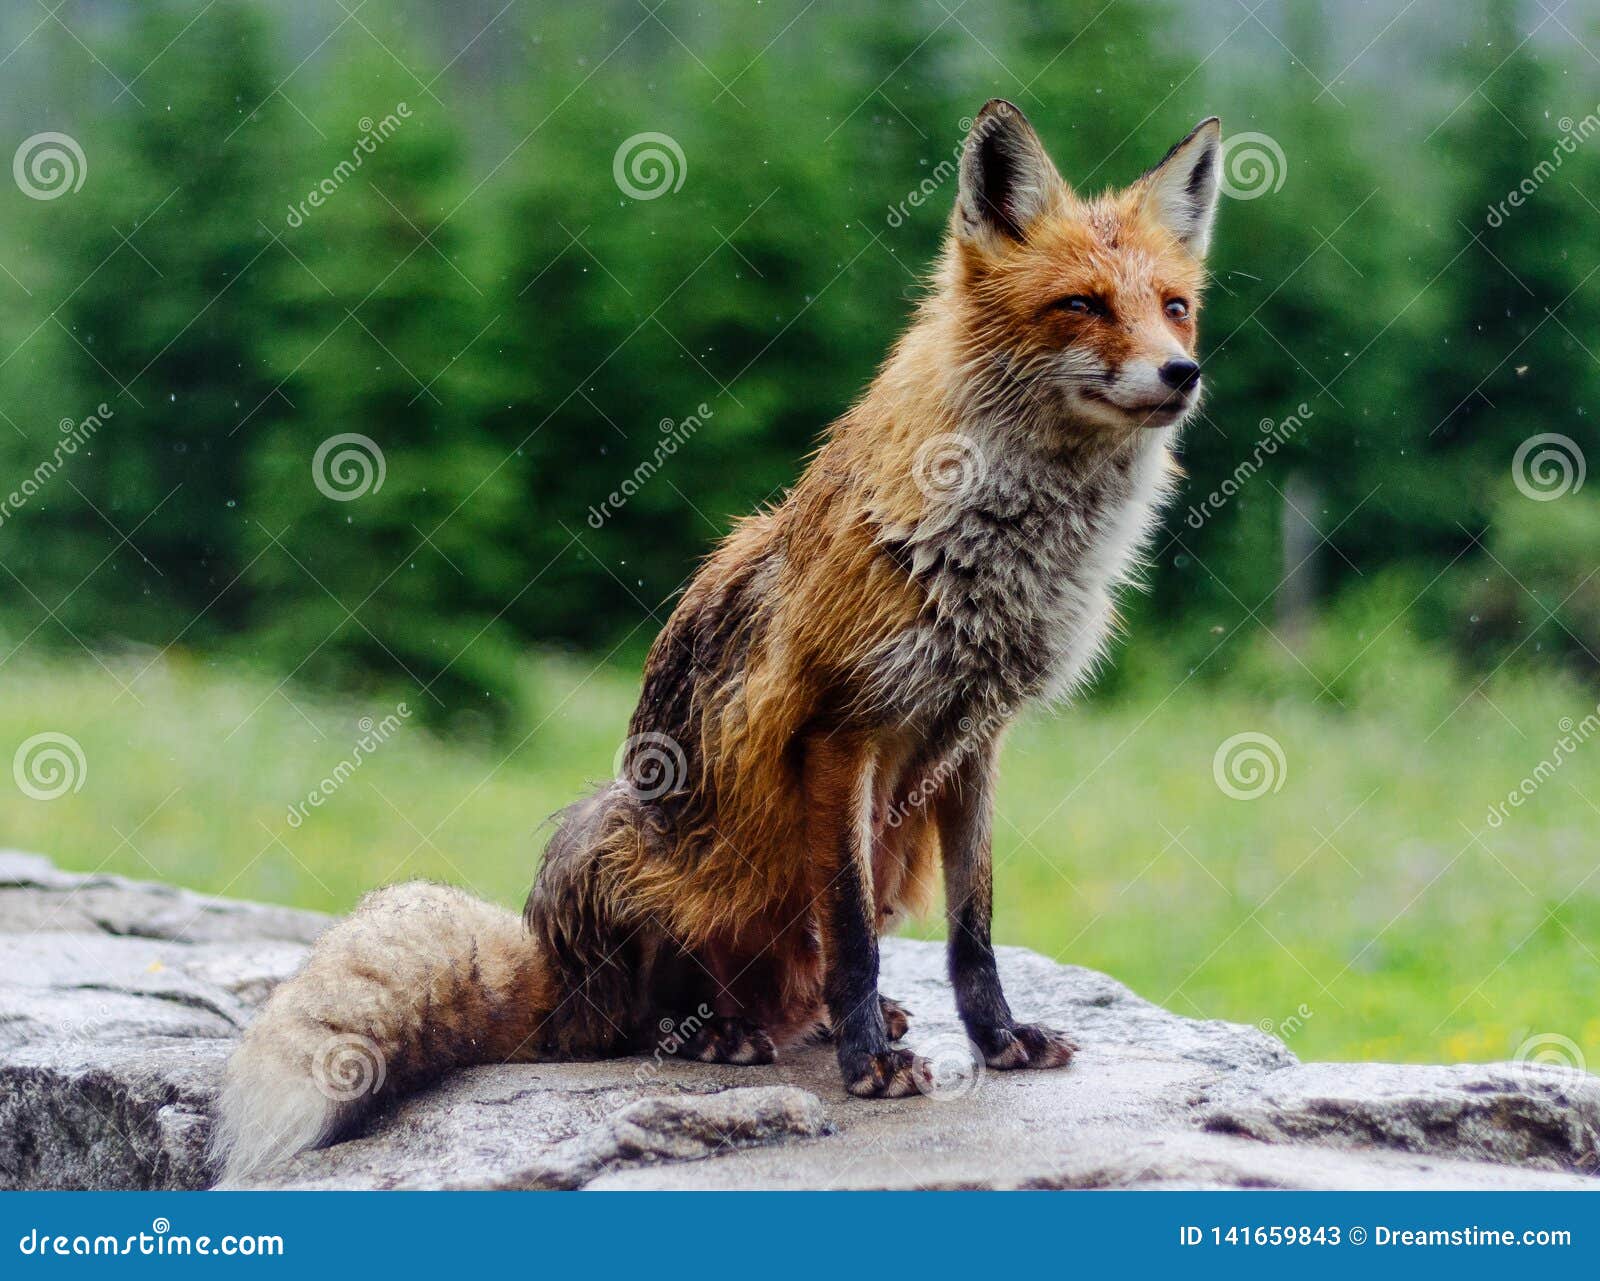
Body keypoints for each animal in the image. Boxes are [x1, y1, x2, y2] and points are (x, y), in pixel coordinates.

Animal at [212, 100, 1222, 1182]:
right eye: (1081, 304)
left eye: (1174, 306)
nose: (1183, 374)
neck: (999, 557)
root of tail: (553, 984)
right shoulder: (842, 733)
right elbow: (852, 933)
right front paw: (867, 1070)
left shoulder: (974, 740)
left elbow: (973, 930)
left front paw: (995, 1042)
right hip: (627, 833)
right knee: (673, 1010)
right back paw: (725, 1032)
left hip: (885, 850)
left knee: (799, 984)